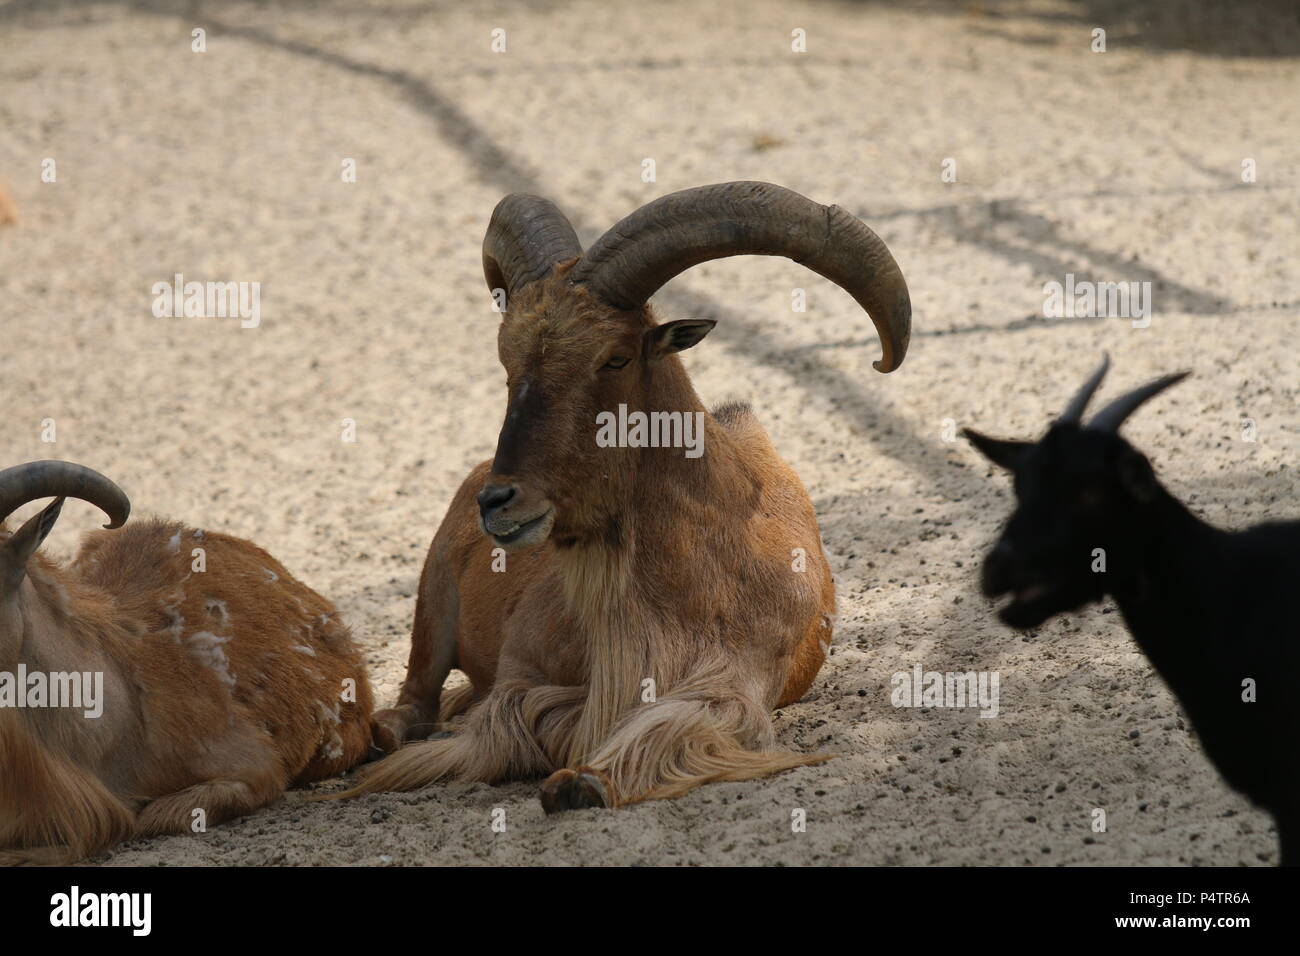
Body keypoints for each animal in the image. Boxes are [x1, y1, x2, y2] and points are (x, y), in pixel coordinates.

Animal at [348, 180, 912, 810]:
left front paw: (586, 780)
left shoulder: (741, 680)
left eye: (614, 357)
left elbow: (680, 720)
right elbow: (523, 713)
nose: (498, 501)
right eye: (505, 361)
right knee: (415, 699)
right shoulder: (520, 672)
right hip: (434, 595)